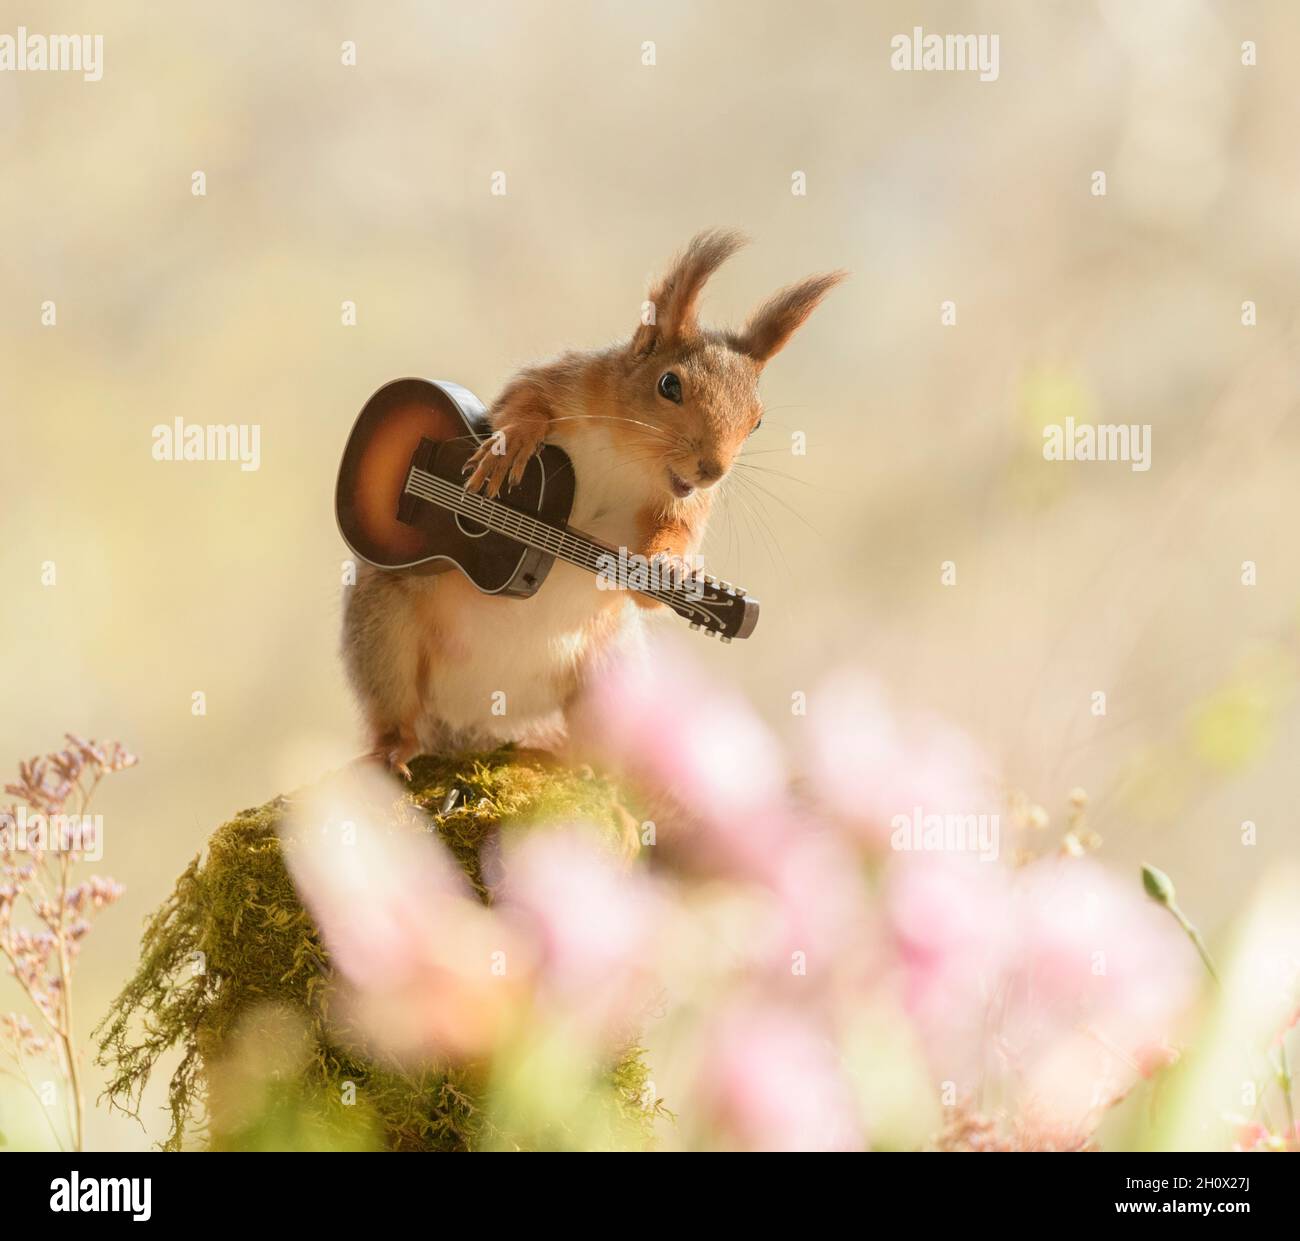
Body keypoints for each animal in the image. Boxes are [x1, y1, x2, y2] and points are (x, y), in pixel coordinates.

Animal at [342, 230, 844, 774]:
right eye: (669, 384)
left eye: (757, 421)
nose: (711, 470)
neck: (629, 456)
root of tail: (483, 716)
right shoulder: (564, 380)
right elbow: (523, 401)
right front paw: (513, 441)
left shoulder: (682, 506)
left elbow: (655, 578)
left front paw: (669, 567)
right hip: (384, 627)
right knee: (396, 711)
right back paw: (394, 748)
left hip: (611, 676)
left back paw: (583, 765)